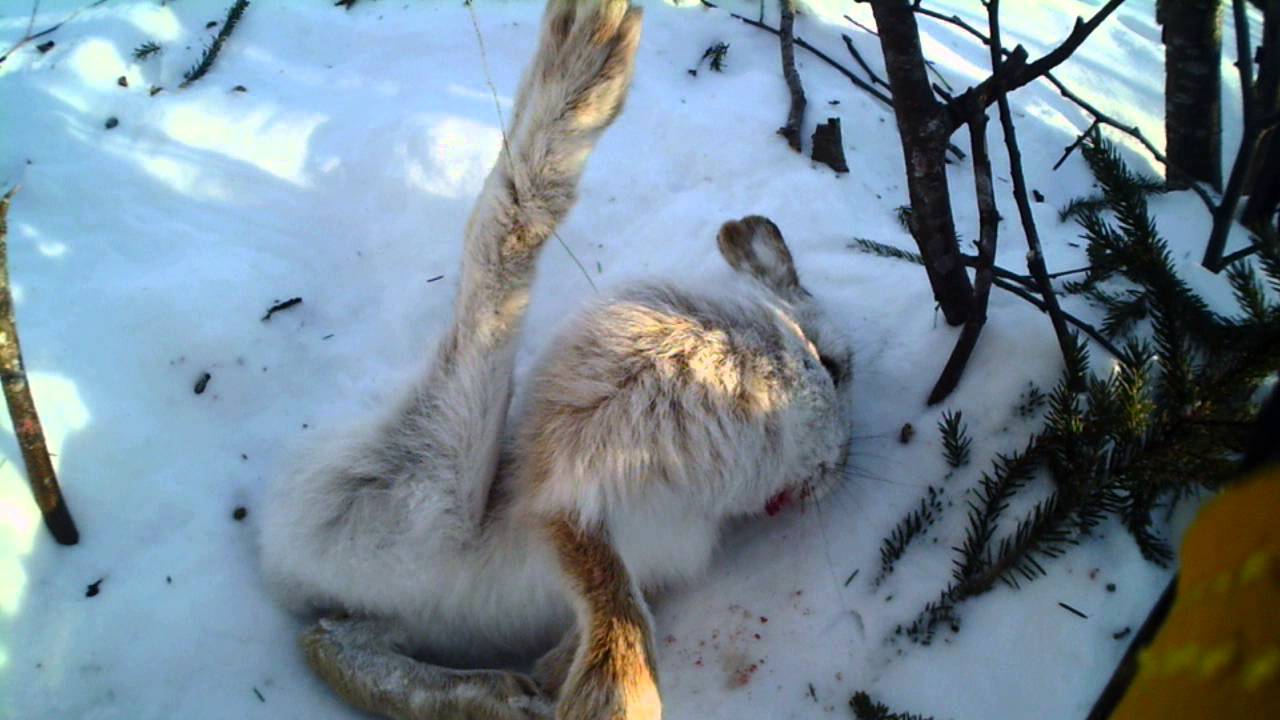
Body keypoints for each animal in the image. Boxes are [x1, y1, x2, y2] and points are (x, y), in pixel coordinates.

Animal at [257, 1, 855, 719]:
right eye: (835, 364)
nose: (840, 464)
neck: (752, 352)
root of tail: (282, 561)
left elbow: (603, 577)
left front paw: (577, 677)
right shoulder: (579, 450)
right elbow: (587, 557)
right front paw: (618, 690)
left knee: (333, 639)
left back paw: (500, 694)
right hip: (424, 480)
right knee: (506, 233)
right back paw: (593, 49)